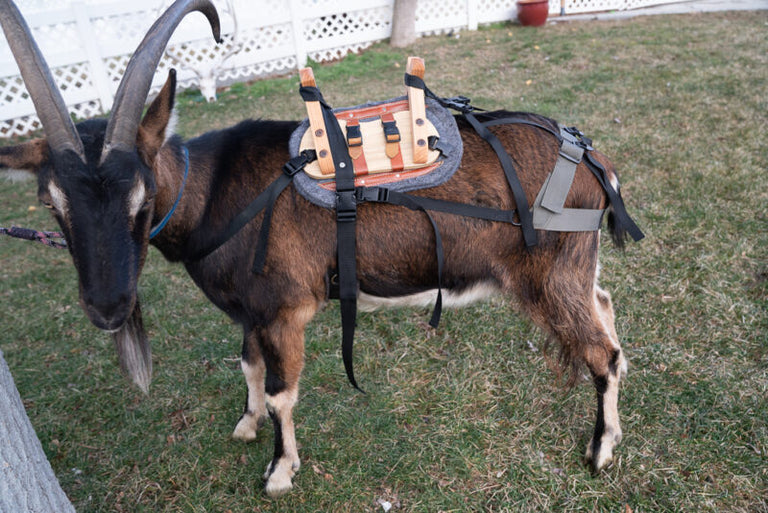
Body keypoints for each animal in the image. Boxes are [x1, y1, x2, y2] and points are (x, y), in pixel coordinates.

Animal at [1, 0, 639, 497]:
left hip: (549, 273)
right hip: (577, 266)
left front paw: (279, 472)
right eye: (51, 203)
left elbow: (282, 393)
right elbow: (249, 366)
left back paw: (601, 451)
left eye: (141, 194)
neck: (218, 195)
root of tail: (594, 162)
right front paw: (246, 426)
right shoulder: (252, 311)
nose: (107, 307)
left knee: (600, 353)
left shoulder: (285, 310)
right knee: (606, 307)